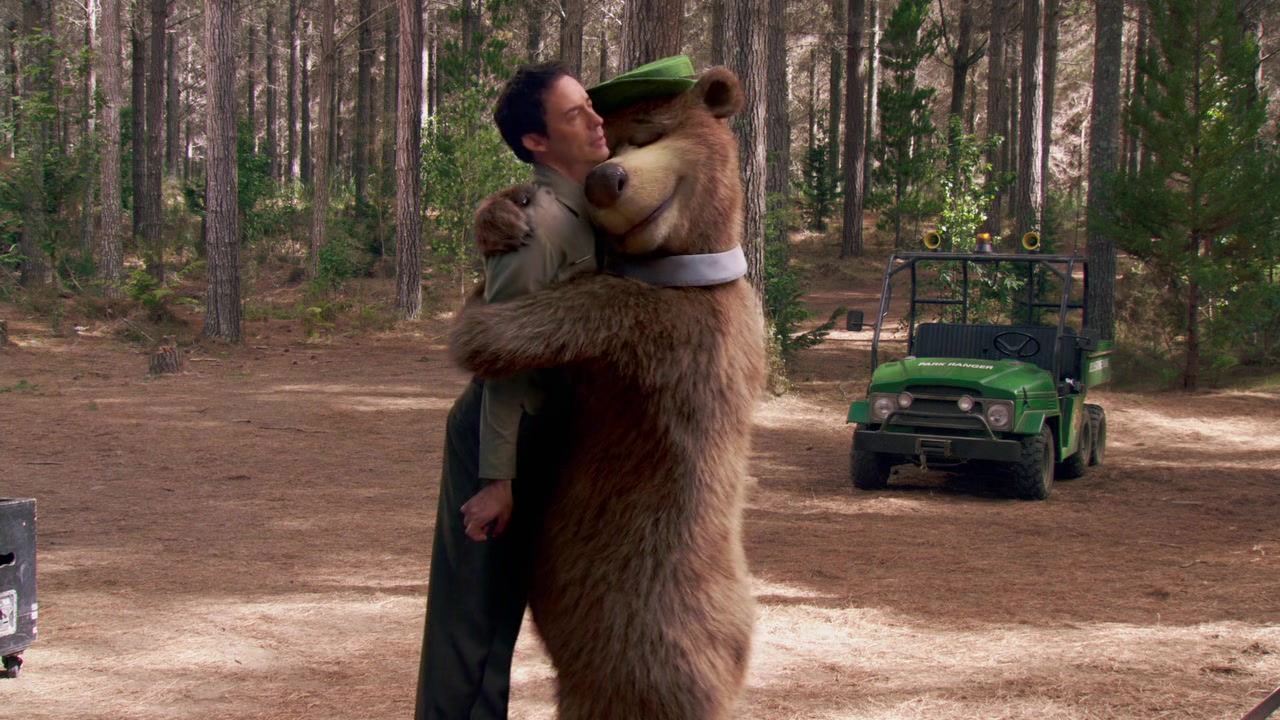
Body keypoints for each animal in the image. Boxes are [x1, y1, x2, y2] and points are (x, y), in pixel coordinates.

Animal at [450, 66, 765, 720]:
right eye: (606, 140)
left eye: (650, 132)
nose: (602, 178)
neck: (685, 265)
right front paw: (501, 214)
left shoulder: (675, 336)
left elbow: (582, 310)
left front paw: (478, 327)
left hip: (658, 634)